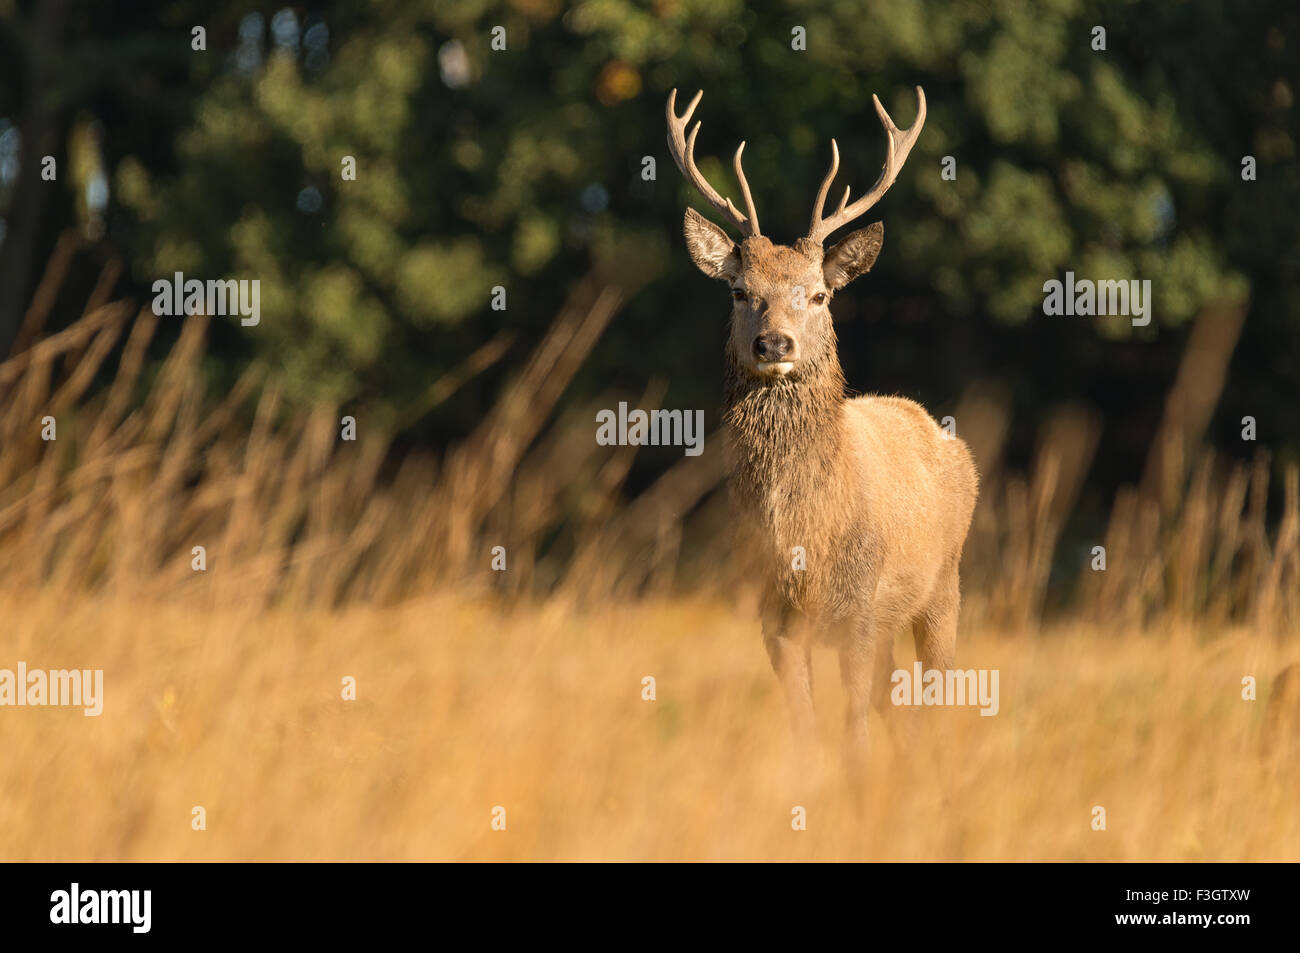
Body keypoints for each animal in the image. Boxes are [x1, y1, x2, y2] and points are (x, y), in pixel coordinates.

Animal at [666, 86, 979, 783]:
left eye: (816, 296)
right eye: (738, 291)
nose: (774, 343)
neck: (803, 531)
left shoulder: (859, 604)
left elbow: (853, 729)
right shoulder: (773, 614)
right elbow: (806, 731)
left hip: (943, 581)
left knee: (938, 698)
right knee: (899, 709)